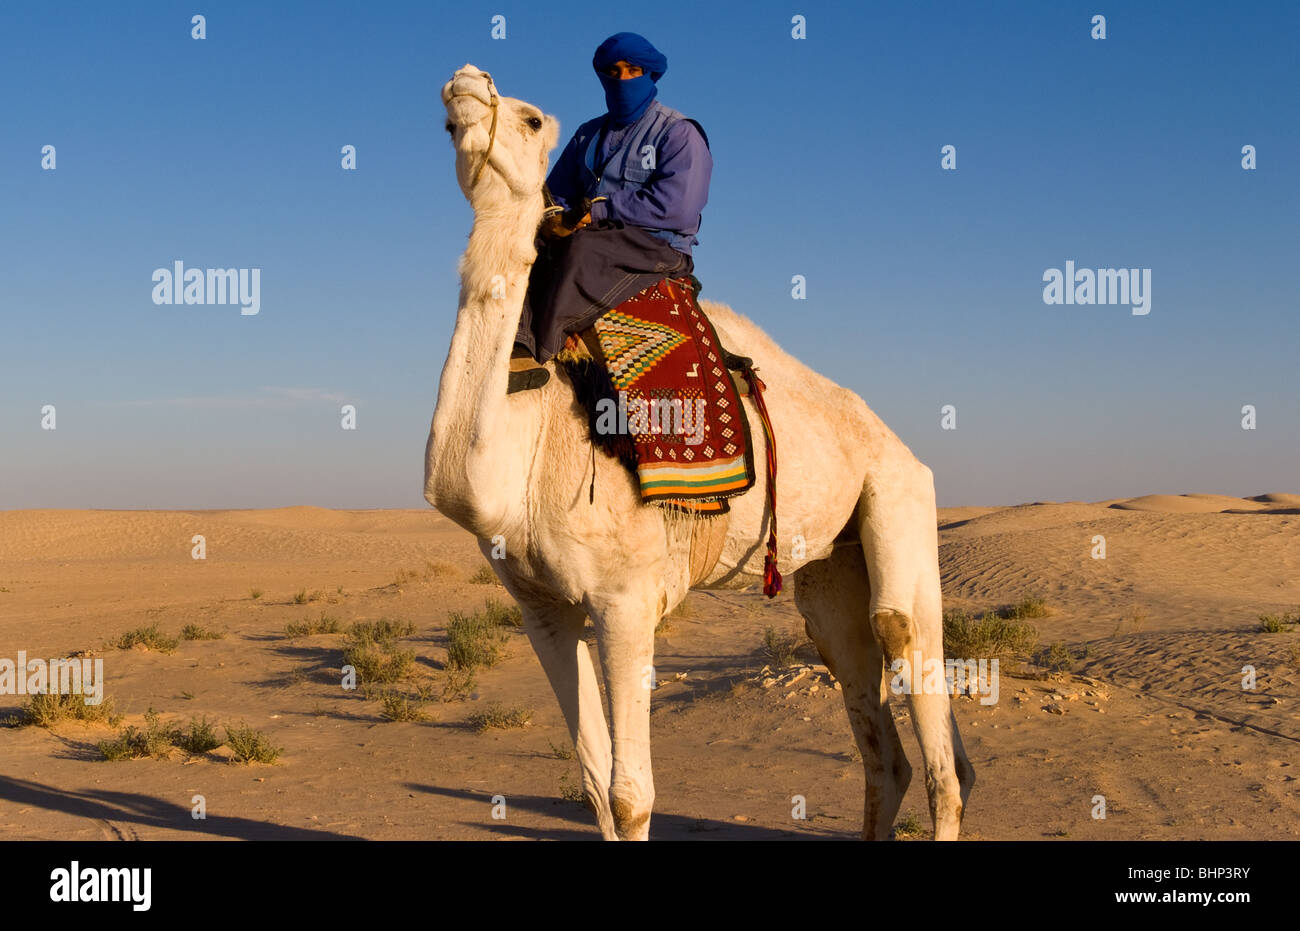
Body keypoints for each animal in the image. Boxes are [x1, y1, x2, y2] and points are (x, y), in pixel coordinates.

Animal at [426, 64, 974, 840]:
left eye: (532, 121)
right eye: (447, 125)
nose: (466, 83)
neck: (521, 446)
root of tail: (901, 446)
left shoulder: (624, 597)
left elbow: (632, 795)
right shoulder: (542, 609)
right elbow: (594, 785)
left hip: (900, 496)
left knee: (919, 692)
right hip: (832, 566)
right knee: (875, 730)